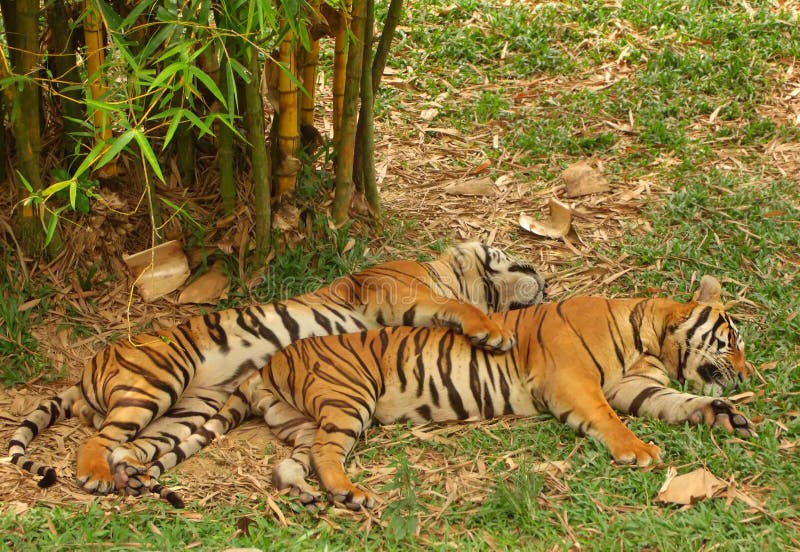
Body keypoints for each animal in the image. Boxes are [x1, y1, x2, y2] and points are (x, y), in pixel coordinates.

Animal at [8, 242, 546, 502]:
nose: (544, 275)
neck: (448, 271)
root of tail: (83, 374)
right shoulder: (404, 293)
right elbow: (456, 306)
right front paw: (493, 332)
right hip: (157, 379)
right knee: (95, 440)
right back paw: (95, 477)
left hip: (182, 411)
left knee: (128, 448)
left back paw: (130, 477)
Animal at [248, 275, 754, 510]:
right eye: (732, 341)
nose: (747, 375)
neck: (649, 342)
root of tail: (266, 367)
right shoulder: (573, 382)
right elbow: (607, 417)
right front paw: (638, 450)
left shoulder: (634, 387)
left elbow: (678, 402)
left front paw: (726, 414)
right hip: (348, 400)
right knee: (325, 455)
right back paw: (350, 493)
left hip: (303, 423)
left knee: (292, 462)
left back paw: (308, 495)